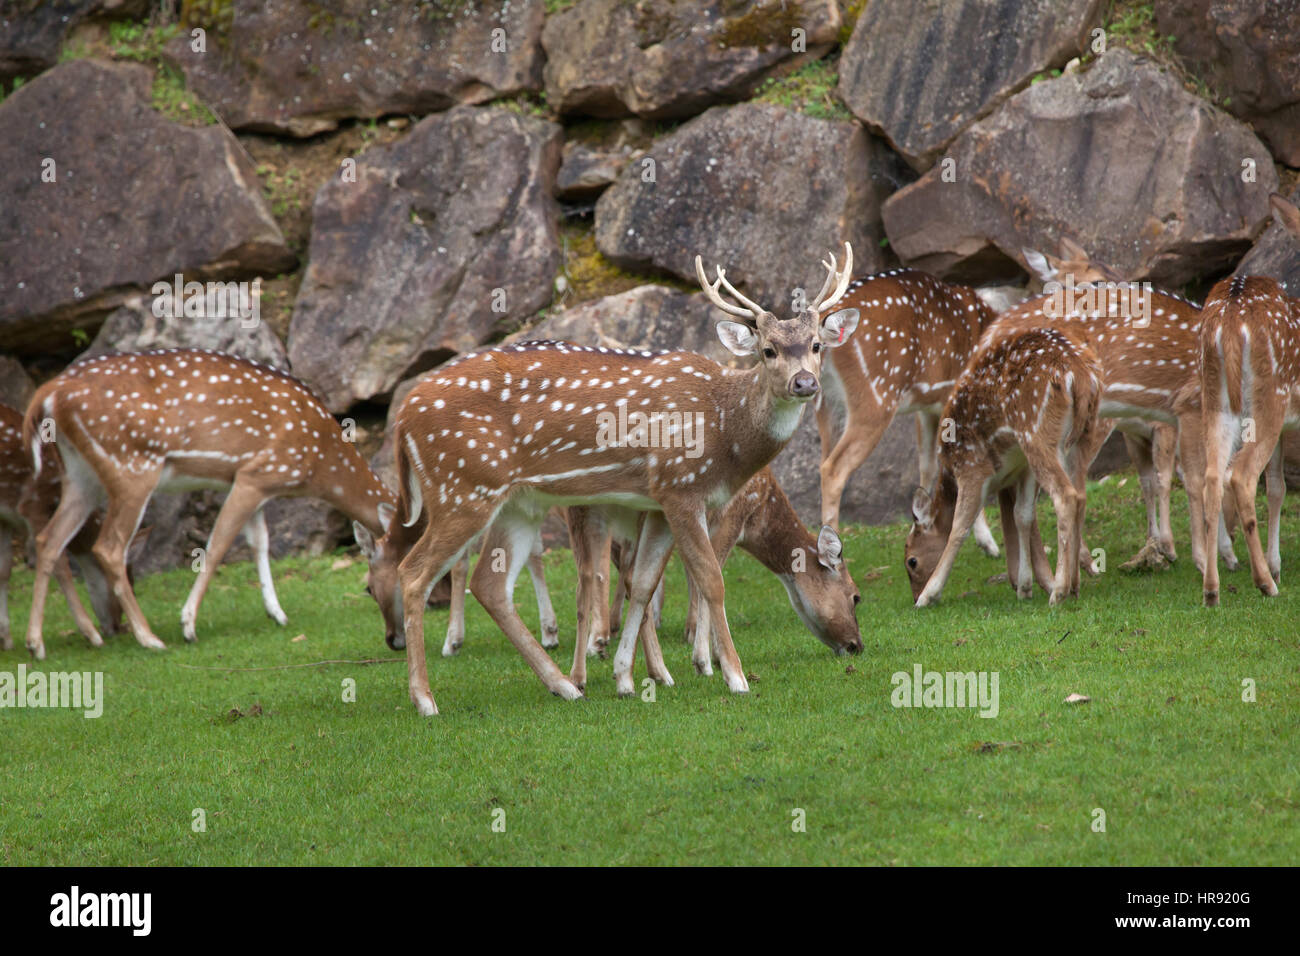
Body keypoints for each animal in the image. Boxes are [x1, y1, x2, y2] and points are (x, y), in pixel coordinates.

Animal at [20, 349, 397, 659]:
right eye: (369, 587)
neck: (321, 463)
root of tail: (49, 392)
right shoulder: (256, 475)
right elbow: (218, 545)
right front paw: (188, 625)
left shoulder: (255, 483)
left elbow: (260, 543)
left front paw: (277, 613)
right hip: (131, 466)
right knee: (108, 547)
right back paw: (149, 638)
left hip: (80, 475)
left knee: (49, 539)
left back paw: (47, 641)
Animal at [353, 246, 860, 715]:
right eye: (767, 350)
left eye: (816, 345)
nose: (803, 383)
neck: (723, 432)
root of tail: (402, 418)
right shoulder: (681, 485)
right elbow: (710, 580)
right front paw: (732, 676)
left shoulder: (657, 502)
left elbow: (644, 583)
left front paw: (626, 678)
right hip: (462, 487)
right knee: (415, 573)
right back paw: (426, 699)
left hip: (516, 503)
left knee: (490, 584)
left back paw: (564, 686)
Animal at [906, 328, 1107, 606]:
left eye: (911, 561)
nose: (914, 594)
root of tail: (1079, 375)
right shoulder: (1021, 470)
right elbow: (1022, 515)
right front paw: (1024, 586)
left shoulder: (972, 466)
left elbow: (959, 526)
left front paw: (928, 595)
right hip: (1081, 435)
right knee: (1081, 495)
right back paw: (1074, 586)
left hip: (1036, 431)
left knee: (1066, 496)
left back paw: (1058, 592)